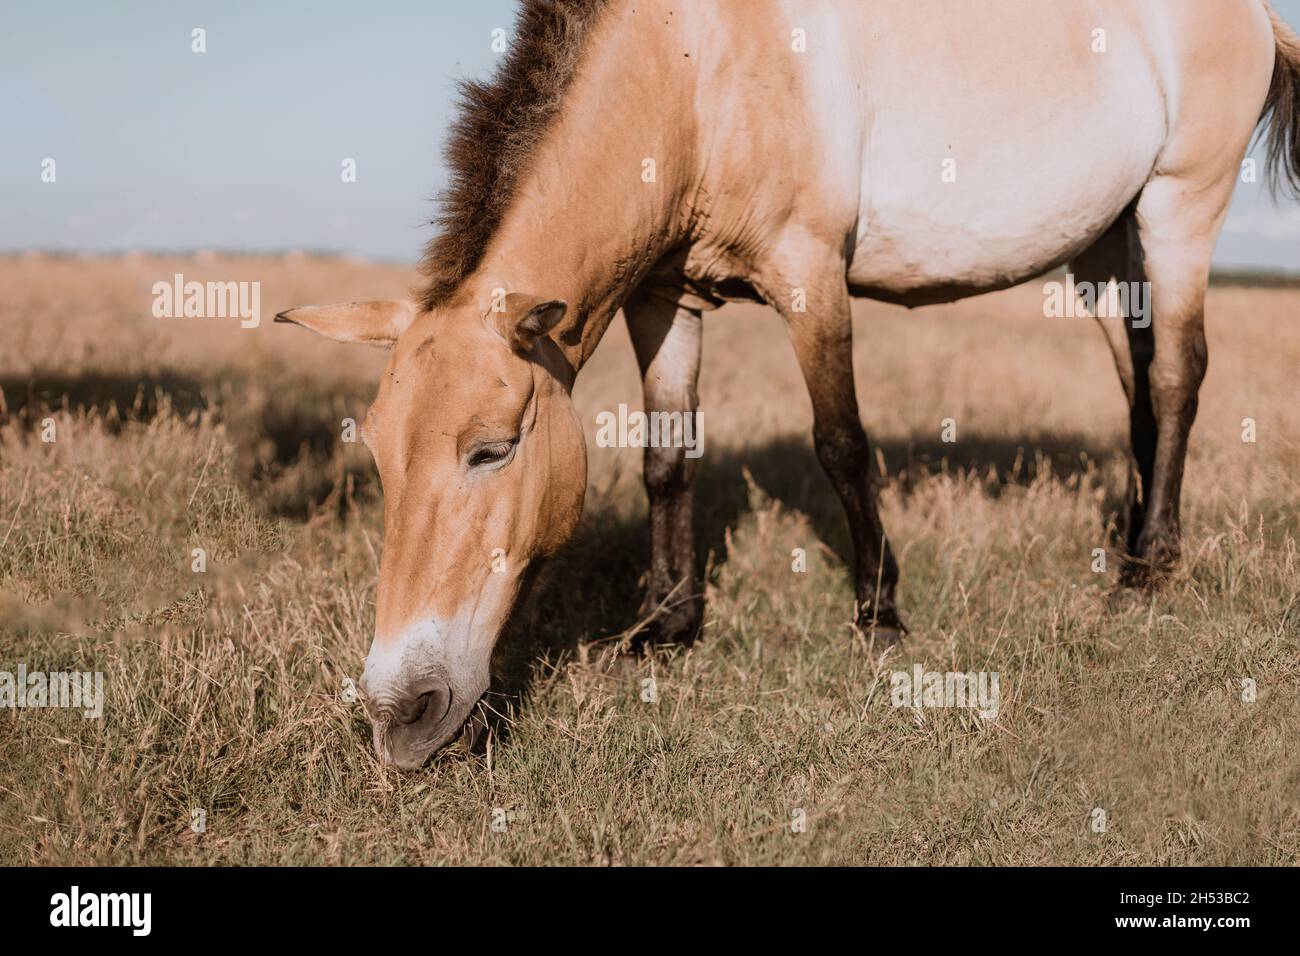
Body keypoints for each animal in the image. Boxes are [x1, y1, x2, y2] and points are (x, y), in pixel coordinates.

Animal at [276, 0, 1300, 769]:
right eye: (381, 465)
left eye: (490, 451)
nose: (399, 715)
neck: (697, 65)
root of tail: (1253, 16)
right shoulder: (664, 299)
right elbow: (668, 460)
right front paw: (665, 626)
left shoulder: (812, 277)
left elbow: (842, 444)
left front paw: (880, 619)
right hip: (1103, 243)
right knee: (1137, 383)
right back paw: (1127, 543)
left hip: (1179, 208)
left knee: (1176, 378)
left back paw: (1147, 573)